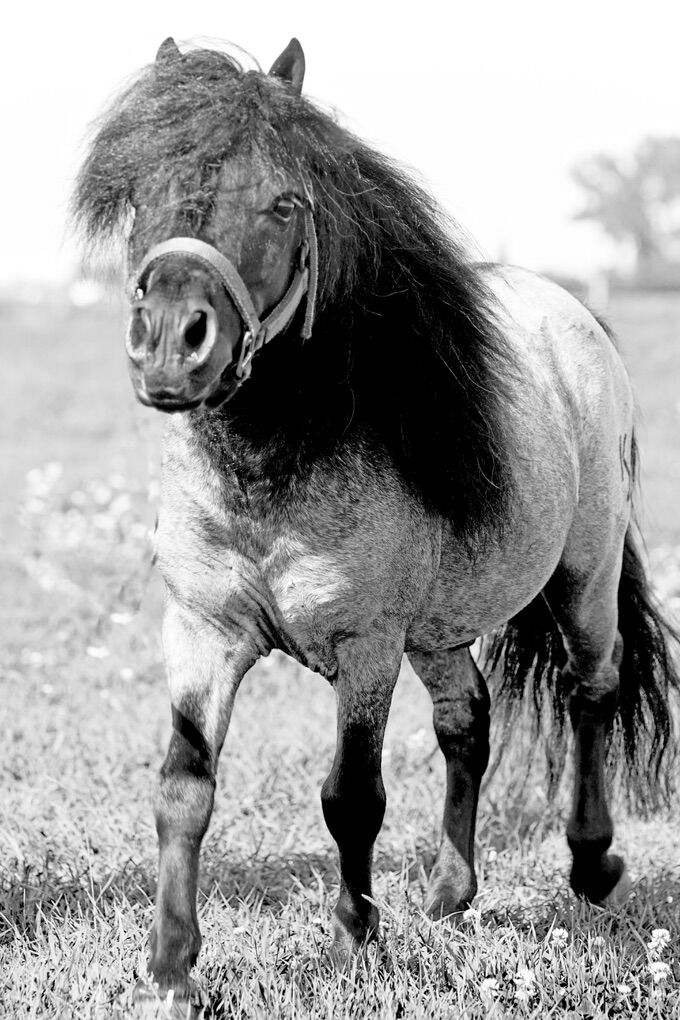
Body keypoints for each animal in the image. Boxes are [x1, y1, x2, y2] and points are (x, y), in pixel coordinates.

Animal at [73, 36, 679, 1015]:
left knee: (593, 689)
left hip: (580, 577)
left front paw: (355, 938)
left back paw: (591, 866)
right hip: (438, 627)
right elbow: (183, 787)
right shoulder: (202, 631)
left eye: (284, 201)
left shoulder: (365, 644)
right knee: (467, 721)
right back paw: (450, 891)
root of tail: (574, 314)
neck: (277, 467)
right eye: (140, 196)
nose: (170, 341)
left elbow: (351, 796)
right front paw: (170, 967)